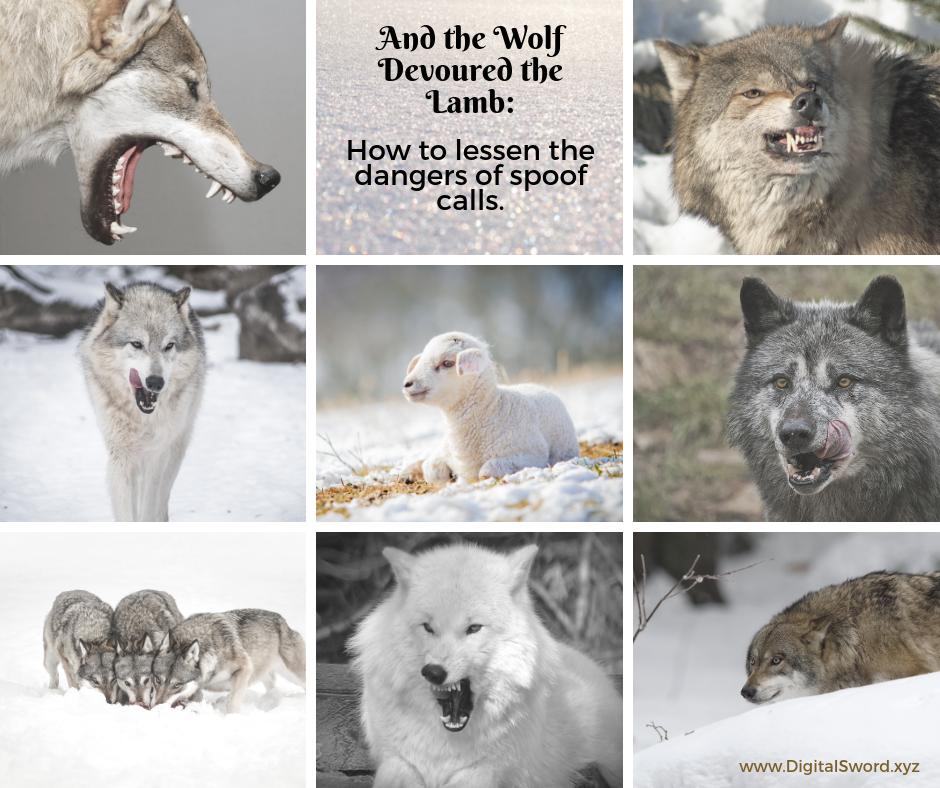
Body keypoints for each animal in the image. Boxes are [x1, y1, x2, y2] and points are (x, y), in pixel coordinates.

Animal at [79, 281, 206, 522]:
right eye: (137, 344)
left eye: (169, 345)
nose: (156, 382)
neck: (142, 420)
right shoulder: (120, 457)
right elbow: (127, 514)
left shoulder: (156, 456)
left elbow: (148, 510)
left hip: (176, 448)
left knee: (162, 501)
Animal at [152, 609, 306, 713]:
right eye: (157, 680)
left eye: (177, 685)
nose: (156, 707)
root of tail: (282, 620)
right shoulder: (197, 688)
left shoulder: (244, 668)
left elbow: (232, 703)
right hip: (263, 673)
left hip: (295, 674)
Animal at [348, 544, 623, 788]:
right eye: (428, 627)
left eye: (473, 628)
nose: (433, 672)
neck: (445, 744)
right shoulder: (397, 760)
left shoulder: (483, 770)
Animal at [401, 331, 579, 484]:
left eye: (447, 363)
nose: (407, 383)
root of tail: (537, 385)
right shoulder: (444, 451)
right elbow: (432, 470)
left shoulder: (534, 455)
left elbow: (488, 469)